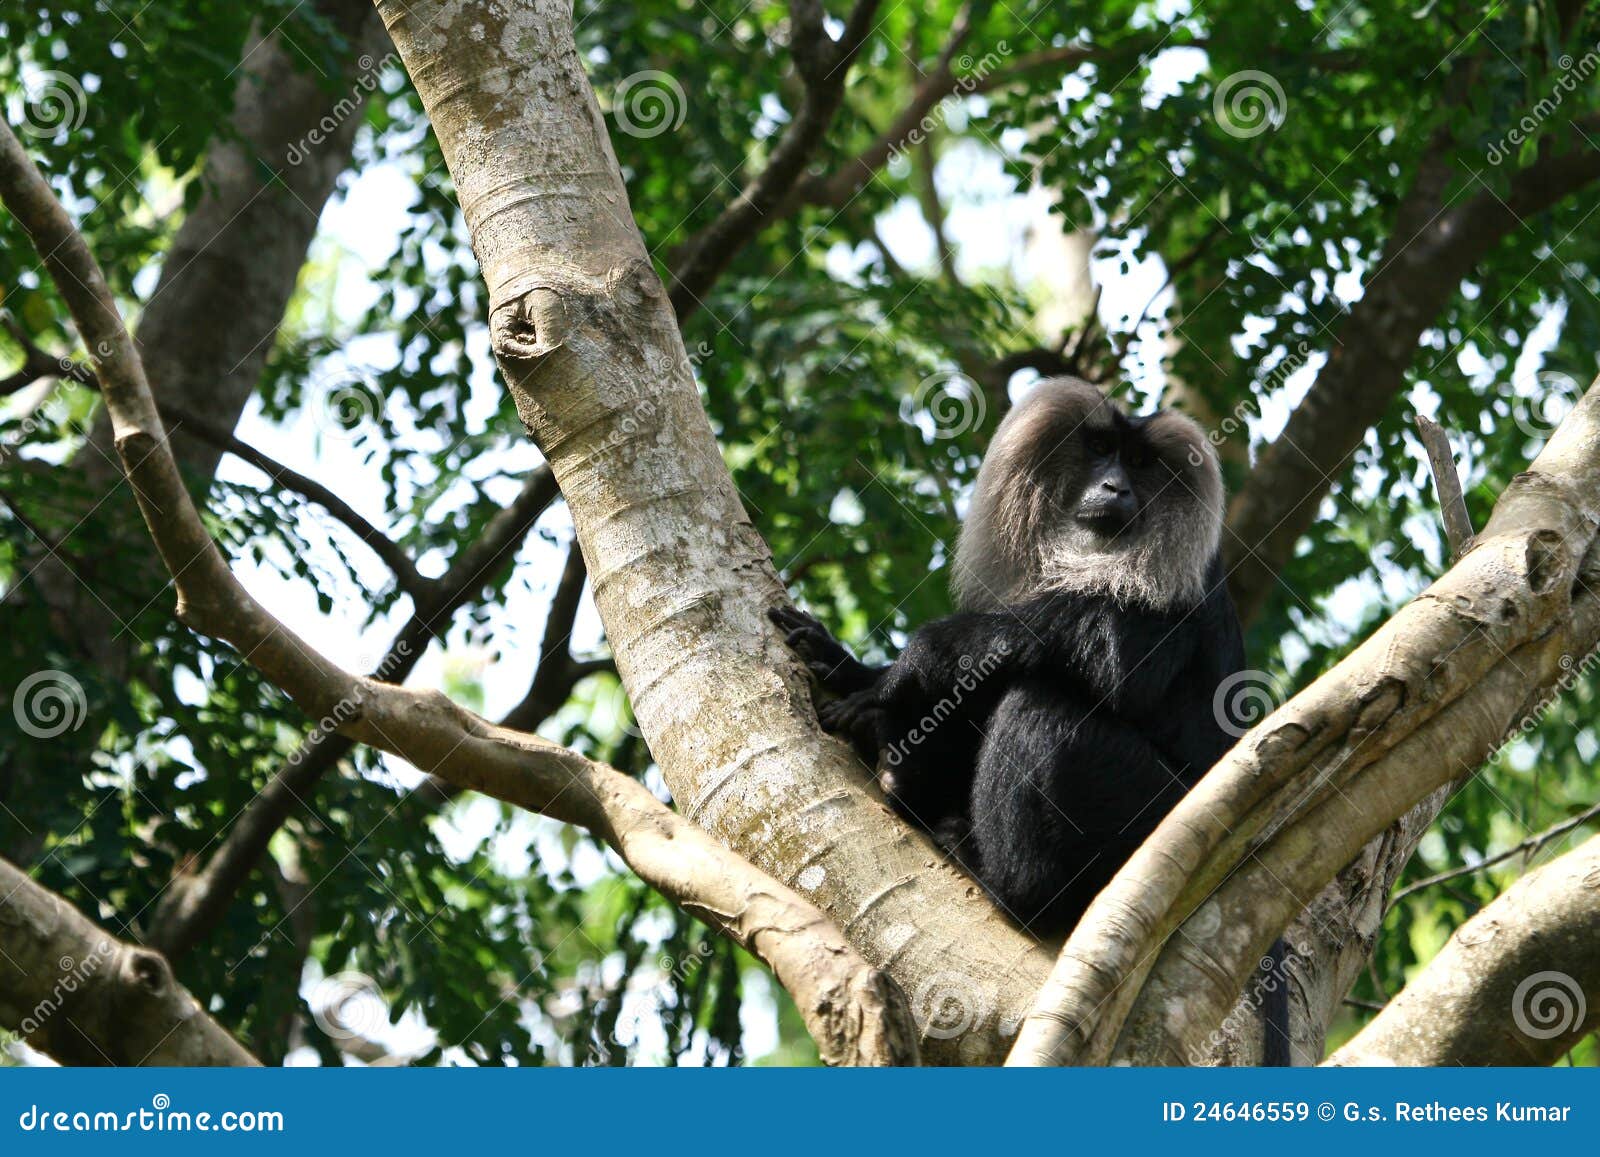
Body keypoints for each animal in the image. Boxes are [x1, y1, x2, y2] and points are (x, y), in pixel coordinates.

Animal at [771, 376, 1292, 1064]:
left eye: (1141, 463)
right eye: (1099, 450)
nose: (1115, 488)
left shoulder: (1183, 584)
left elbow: (1113, 658)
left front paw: (905, 668)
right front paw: (855, 672)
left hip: (1163, 824)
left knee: (1037, 706)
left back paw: (1001, 881)